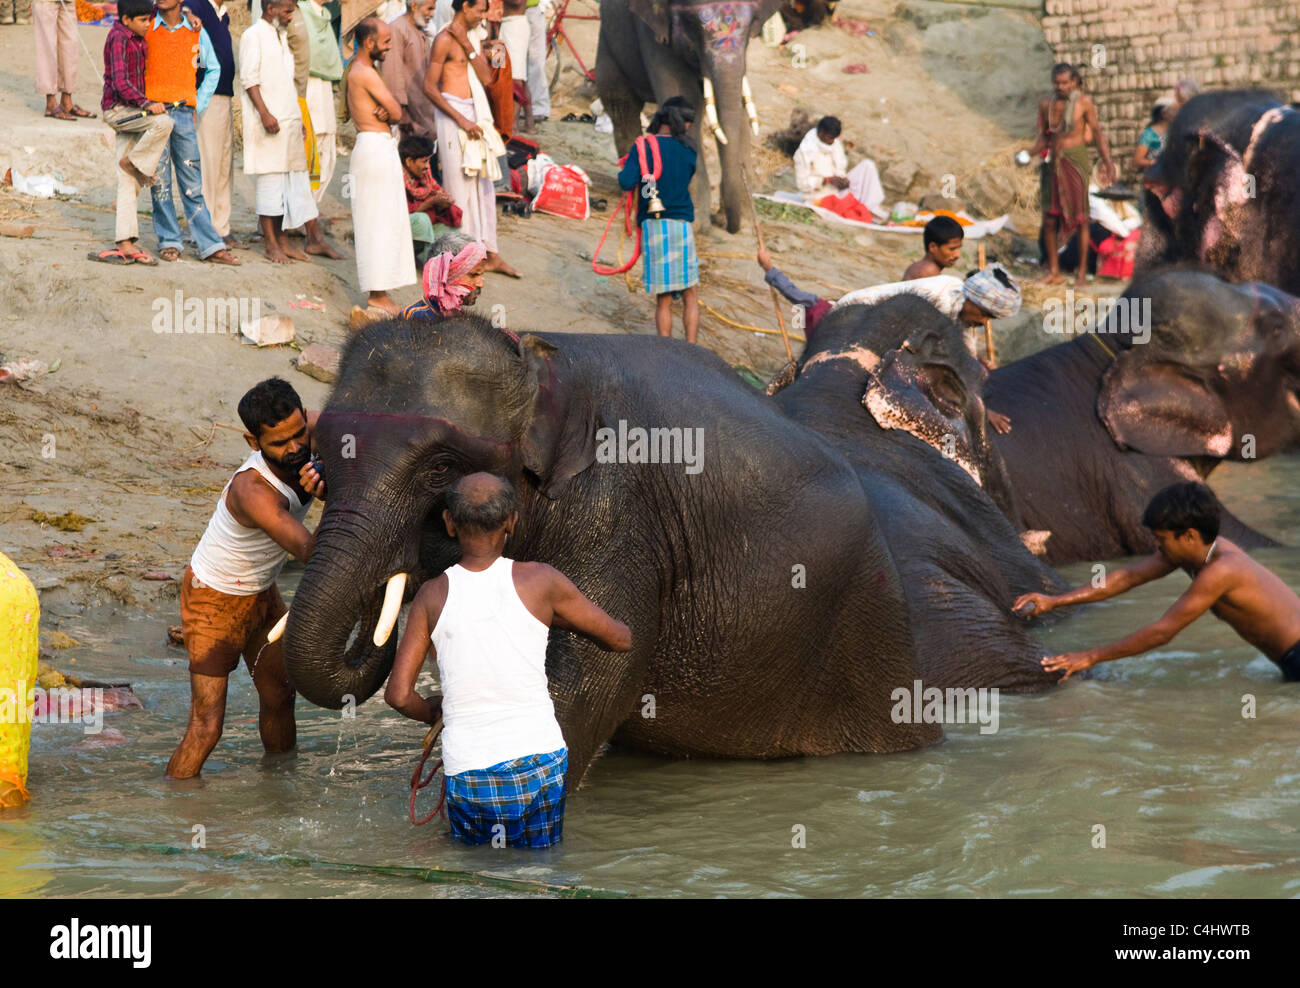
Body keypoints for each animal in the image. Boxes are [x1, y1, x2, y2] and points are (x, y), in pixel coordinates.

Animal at [281, 316, 947, 788]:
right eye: (320, 453)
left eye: (442, 466)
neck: (539, 363)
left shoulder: (619, 508)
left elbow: (591, 673)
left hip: (865, 631)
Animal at [595, 0, 782, 233]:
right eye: (693, 24)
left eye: (753, 22)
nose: (731, 227)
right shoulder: (653, 33)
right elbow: (685, 95)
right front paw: (694, 223)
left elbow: (737, 108)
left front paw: (741, 222)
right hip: (608, 45)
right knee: (620, 103)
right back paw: (637, 194)